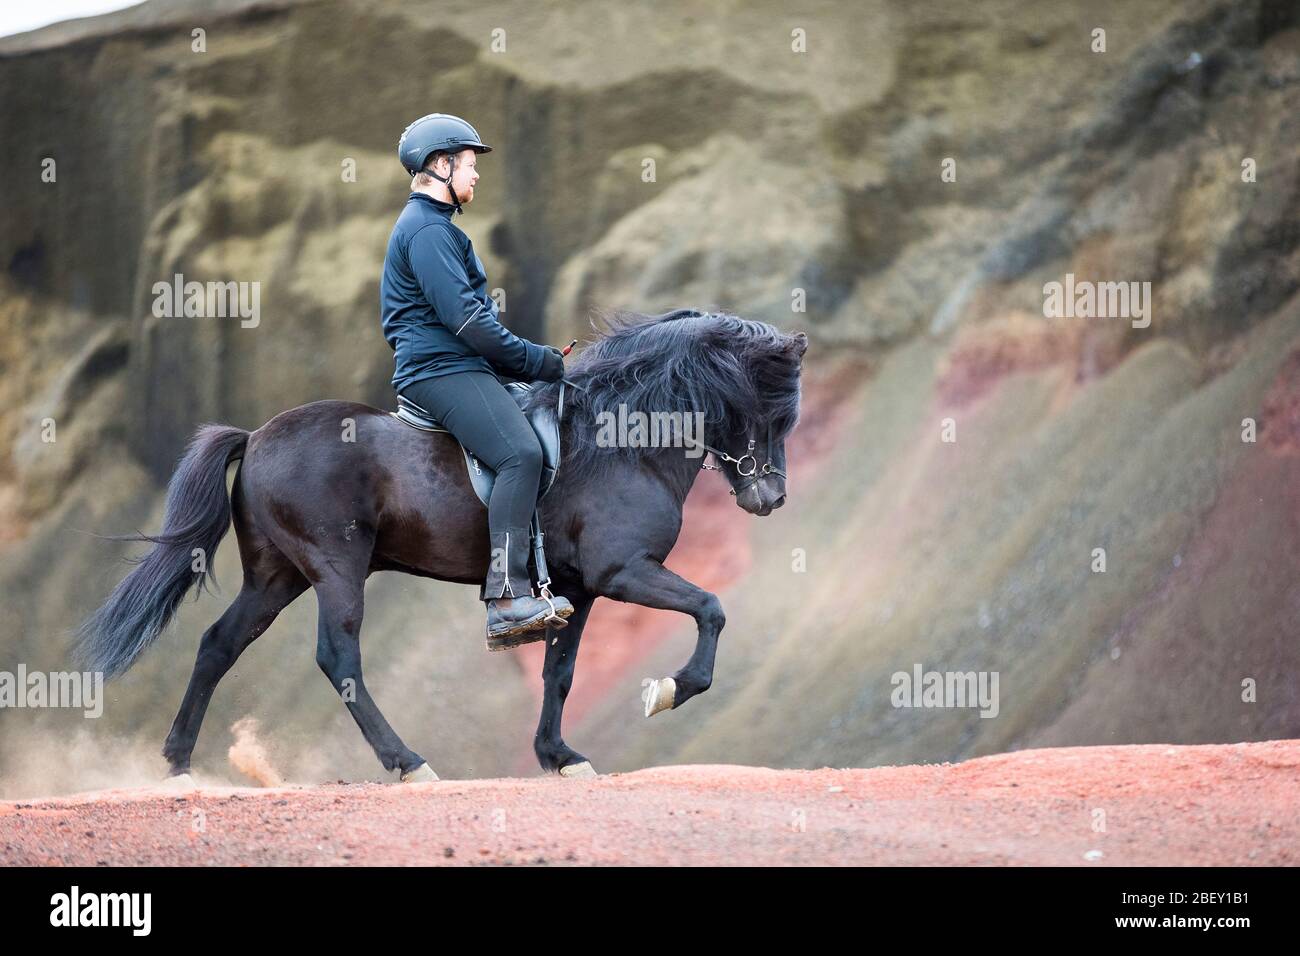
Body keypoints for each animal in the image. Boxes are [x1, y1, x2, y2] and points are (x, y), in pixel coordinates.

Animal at [75, 308, 807, 781]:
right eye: (767, 408)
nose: (769, 499)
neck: (618, 440)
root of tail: (255, 437)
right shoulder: (624, 571)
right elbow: (711, 609)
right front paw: (670, 690)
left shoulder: (578, 589)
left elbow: (560, 672)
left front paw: (559, 757)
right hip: (336, 570)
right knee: (338, 657)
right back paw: (408, 762)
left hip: (277, 576)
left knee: (218, 645)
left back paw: (177, 764)